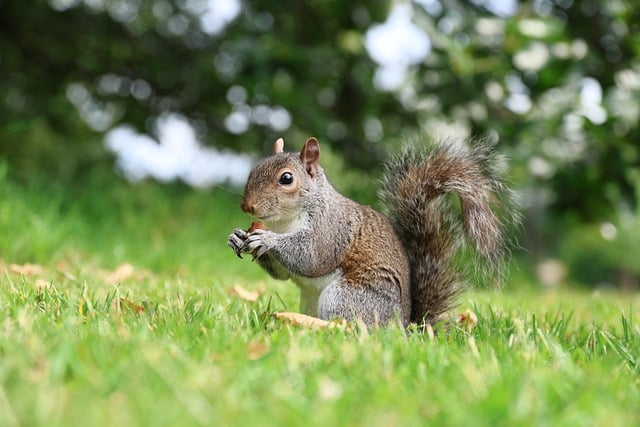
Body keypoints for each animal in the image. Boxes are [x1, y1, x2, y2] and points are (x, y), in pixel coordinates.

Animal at [228, 136, 518, 328]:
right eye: (253, 170)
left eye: (286, 178)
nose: (247, 206)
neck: (284, 222)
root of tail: (405, 328)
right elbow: (283, 274)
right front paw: (238, 237)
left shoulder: (331, 229)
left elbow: (312, 257)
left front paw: (268, 239)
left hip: (348, 298)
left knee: (352, 329)